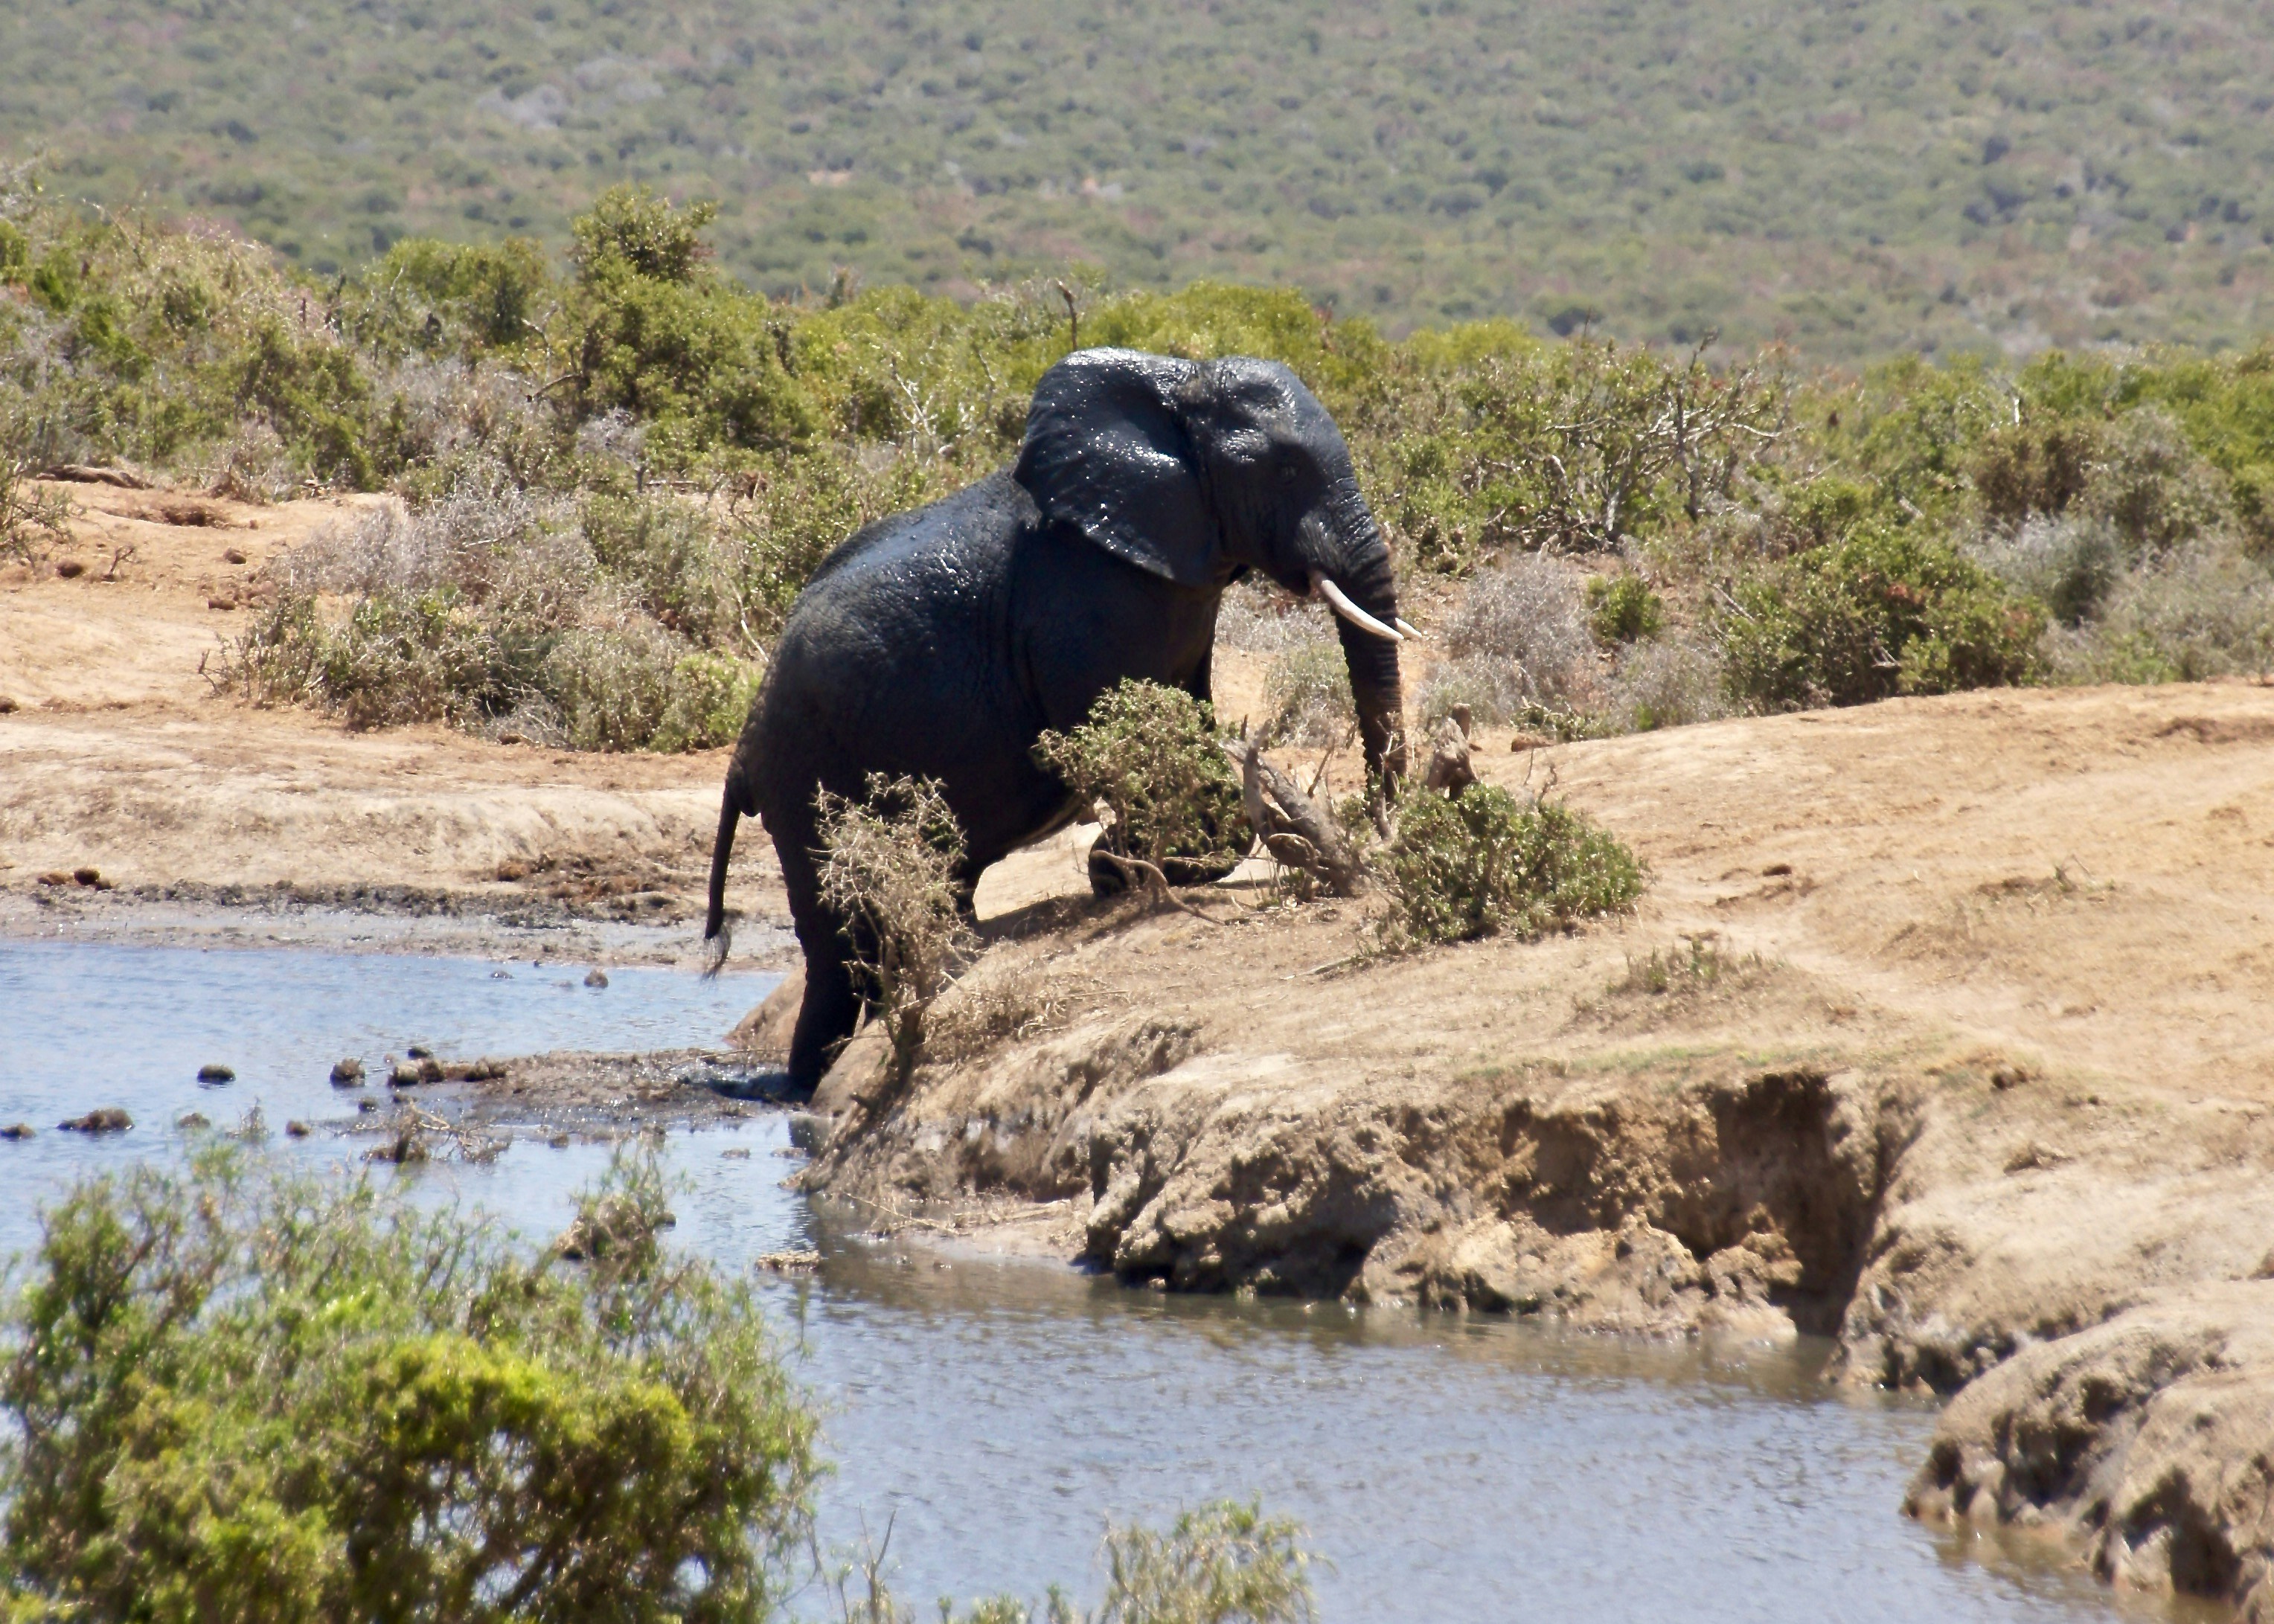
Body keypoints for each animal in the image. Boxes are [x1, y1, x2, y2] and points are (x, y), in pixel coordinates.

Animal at [704, 346, 1411, 1089]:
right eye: (1285, 470)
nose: (1380, 824)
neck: (1176, 379)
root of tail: (741, 751)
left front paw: (1116, 867)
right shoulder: (1082, 602)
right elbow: (1120, 735)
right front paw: (1116, 869)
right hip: (803, 776)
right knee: (839, 957)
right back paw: (803, 1086)